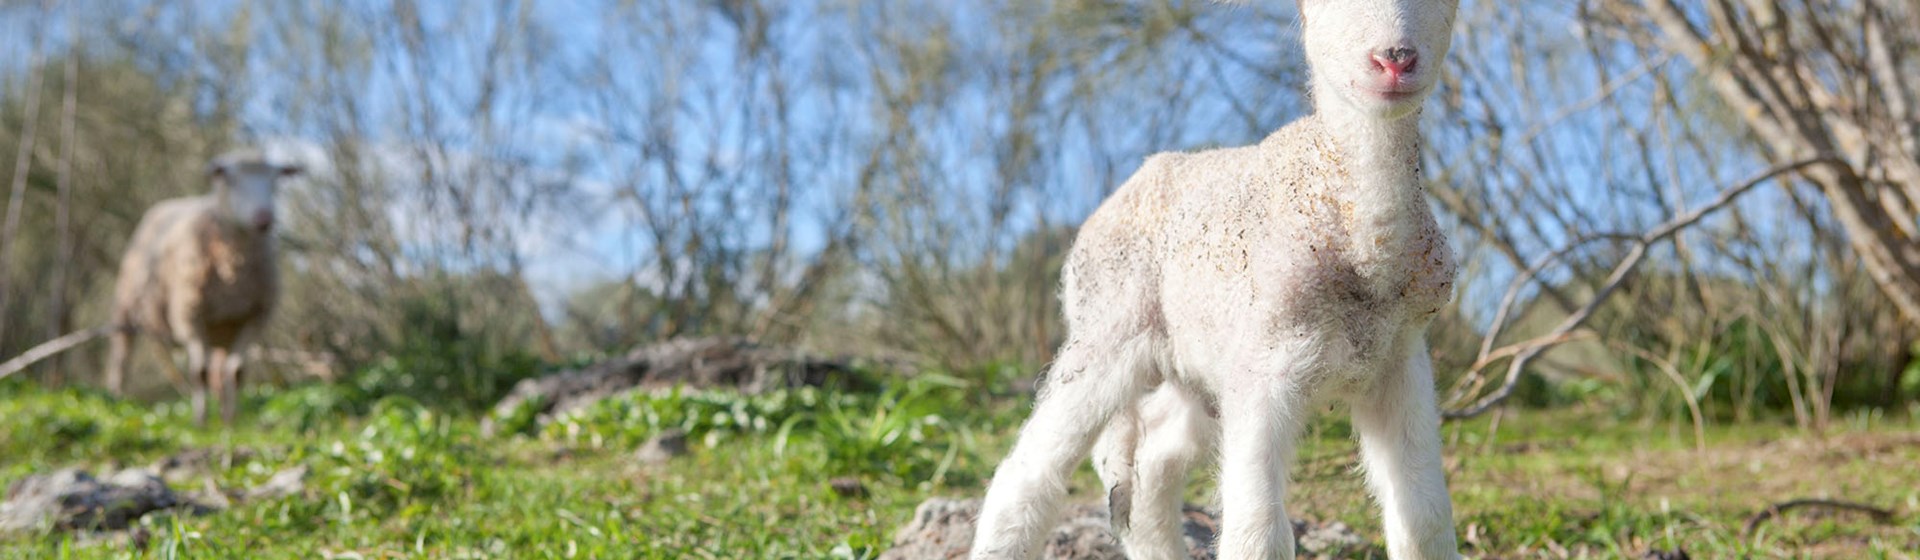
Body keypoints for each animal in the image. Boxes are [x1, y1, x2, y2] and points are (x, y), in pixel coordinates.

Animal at [105, 149, 299, 425]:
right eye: (231, 180)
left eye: (275, 181)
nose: (264, 218)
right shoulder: (191, 315)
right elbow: (199, 373)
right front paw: (200, 421)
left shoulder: (254, 319)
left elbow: (236, 372)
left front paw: (230, 421)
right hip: (126, 307)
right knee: (121, 358)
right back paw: (115, 398)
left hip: (220, 330)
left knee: (217, 370)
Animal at [969, 1, 1462, 559]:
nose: (1395, 59)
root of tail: (1137, 180)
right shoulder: (1265, 362)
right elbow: (1258, 532)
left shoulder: (1400, 359)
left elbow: (1424, 519)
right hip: (1107, 326)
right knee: (1028, 473)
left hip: (1196, 366)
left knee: (1152, 464)